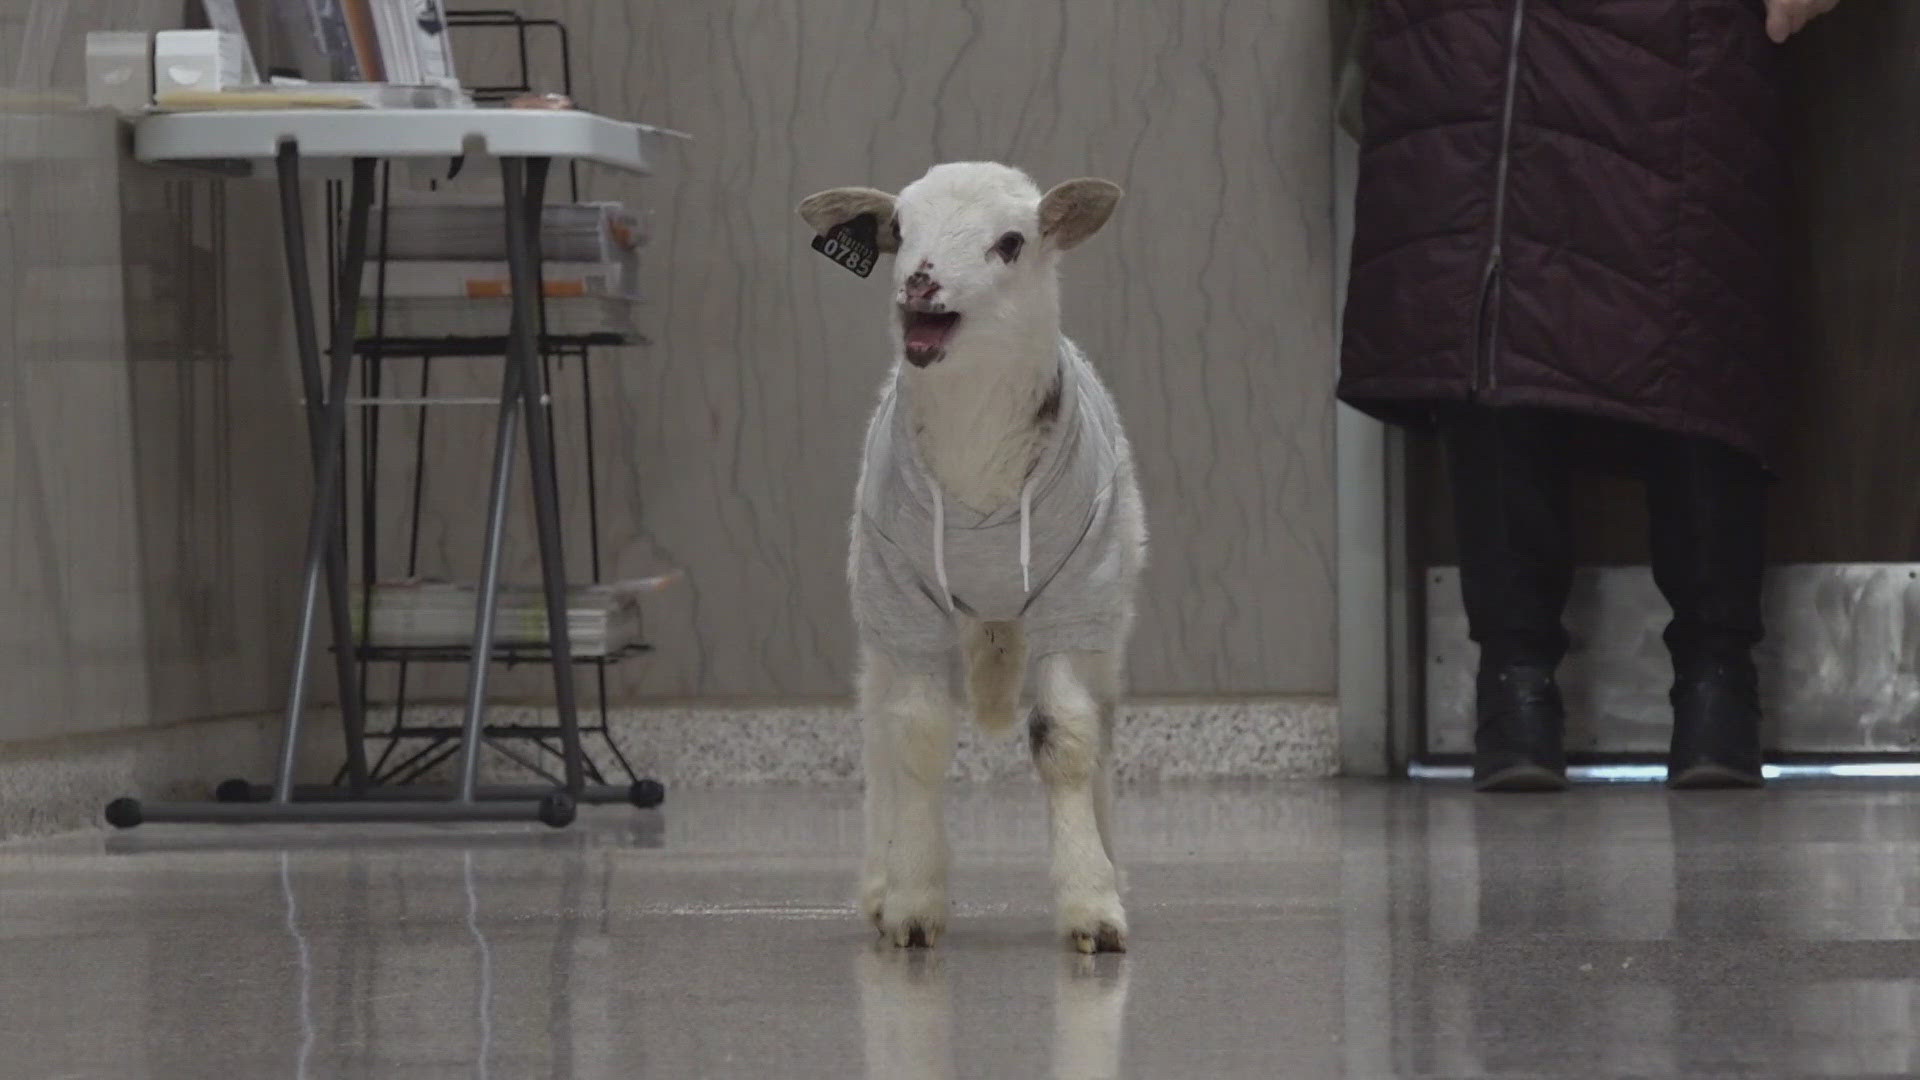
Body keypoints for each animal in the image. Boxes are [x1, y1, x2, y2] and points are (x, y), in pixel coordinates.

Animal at [798, 162, 1146, 953]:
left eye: (1011, 243)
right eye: (898, 232)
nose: (919, 283)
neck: (978, 459)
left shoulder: (1080, 591)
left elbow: (1067, 739)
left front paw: (1092, 903)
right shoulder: (902, 596)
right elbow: (917, 737)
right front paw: (912, 902)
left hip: (1105, 615)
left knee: (1103, 723)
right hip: (880, 610)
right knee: (879, 728)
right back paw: (878, 880)